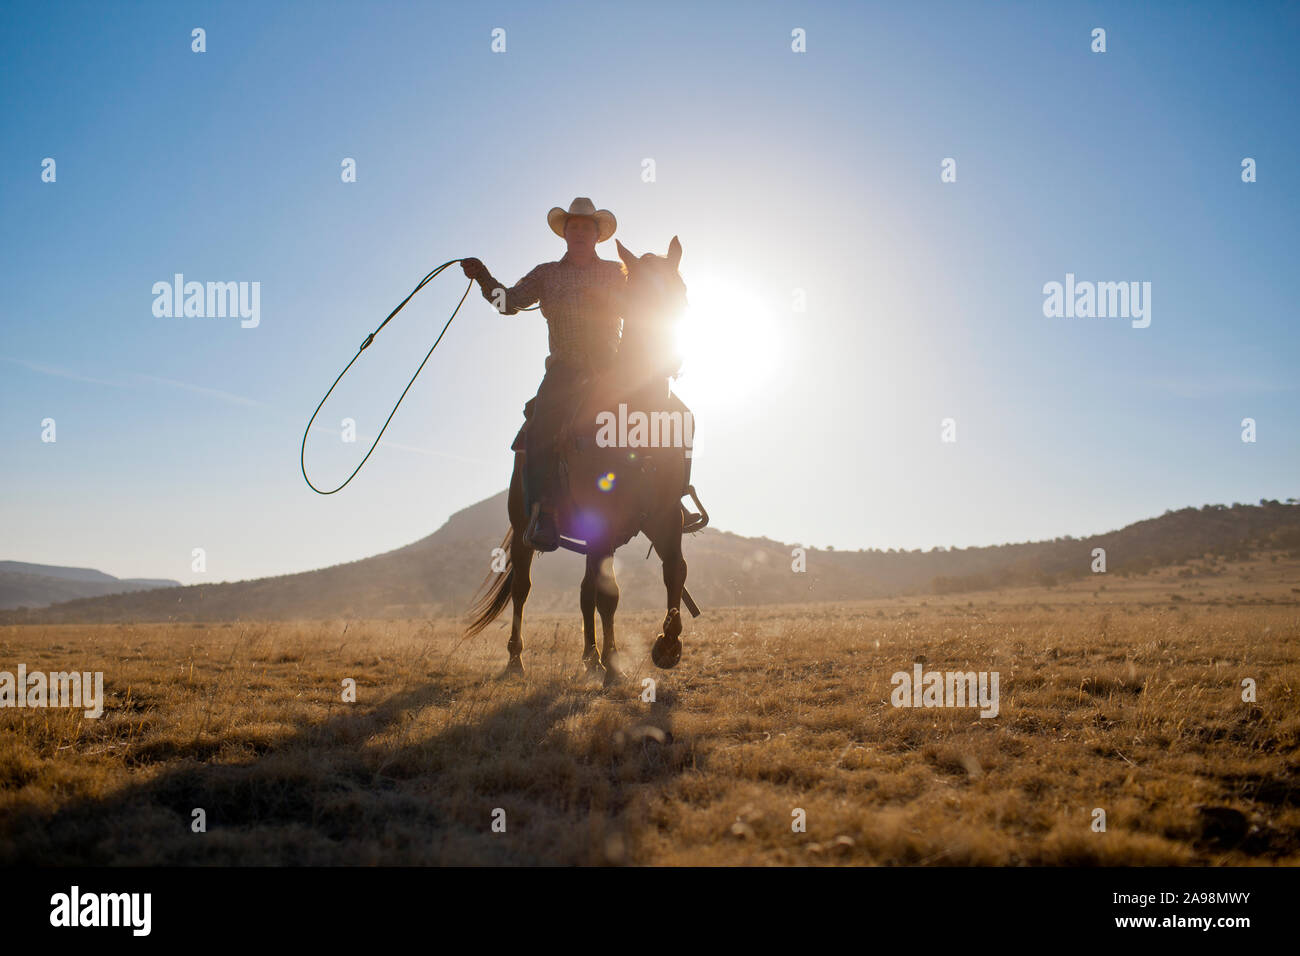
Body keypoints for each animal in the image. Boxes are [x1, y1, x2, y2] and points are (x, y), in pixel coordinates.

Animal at [464, 236, 701, 685]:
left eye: (682, 293)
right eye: (633, 298)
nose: (669, 359)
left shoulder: (664, 517)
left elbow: (675, 571)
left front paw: (667, 646)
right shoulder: (602, 519)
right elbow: (610, 594)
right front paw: (615, 667)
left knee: (585, 589)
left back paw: (591, 656)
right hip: (527, 528)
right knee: (524, 588)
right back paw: (518, 660)